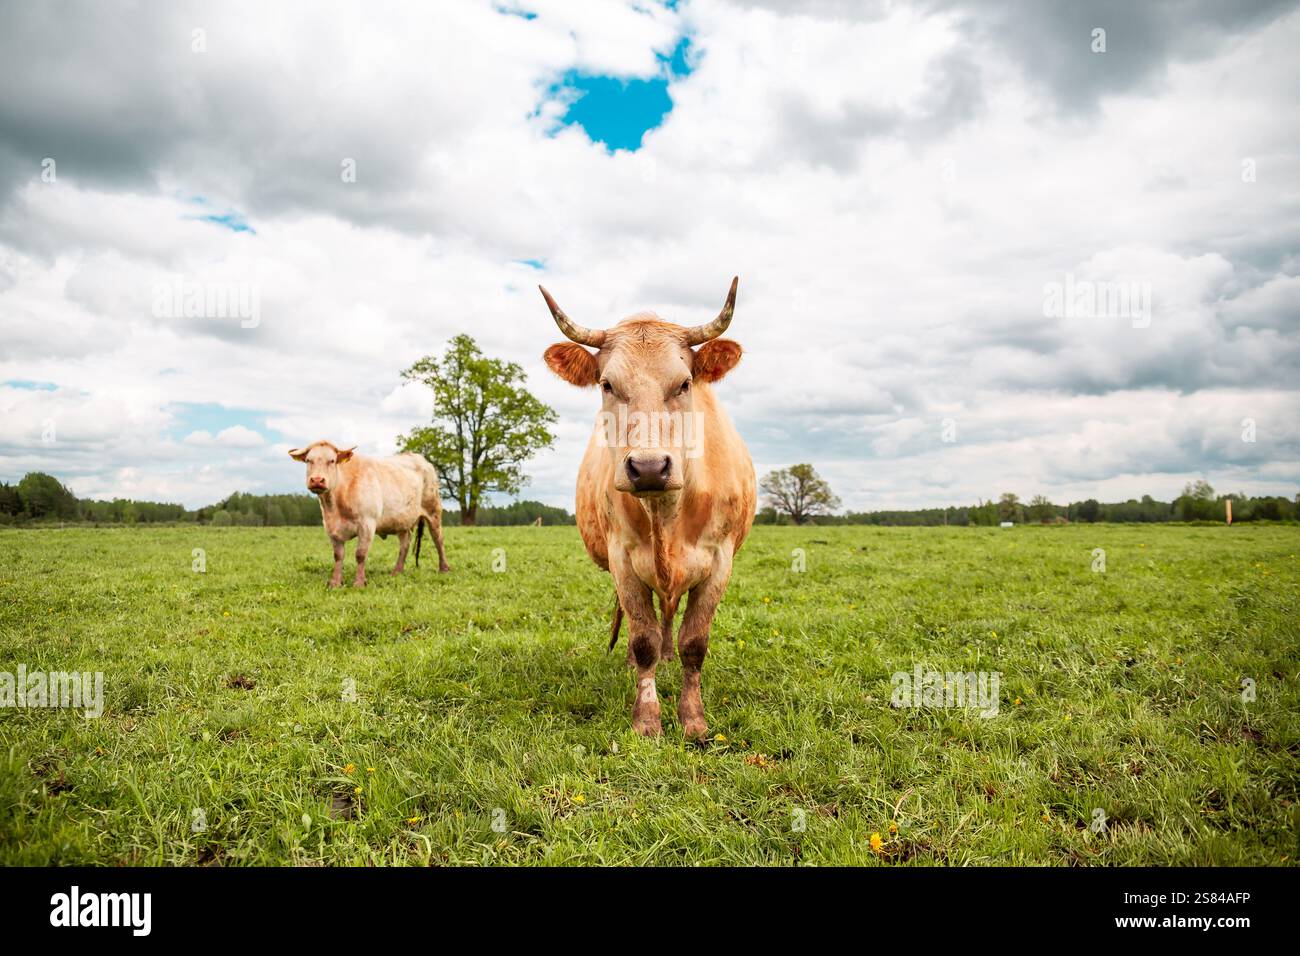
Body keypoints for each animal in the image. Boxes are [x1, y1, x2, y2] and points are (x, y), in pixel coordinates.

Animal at [287, 440, 450, 587]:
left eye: (332, 461)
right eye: (308, 460)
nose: (317, 480)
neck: (335, 504)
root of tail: (421, 459)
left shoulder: (367, 523)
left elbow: (360, 554)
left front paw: (359, 583)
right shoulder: (331, 527)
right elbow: (338, 556)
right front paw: (335, 582)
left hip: (433, 510)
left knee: (438, 539)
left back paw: (444, 568)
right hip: (402, 520)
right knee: (405, 543)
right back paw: (397, 571)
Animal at [540, 278, 755, 738]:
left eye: (685, 383)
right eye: (606, 384)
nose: (650, 468)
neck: (667, 512)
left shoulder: (720, 561)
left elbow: (694, 643)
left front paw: (693, 719)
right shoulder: (622, 559)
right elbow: (643, 640)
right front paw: (647, 719)